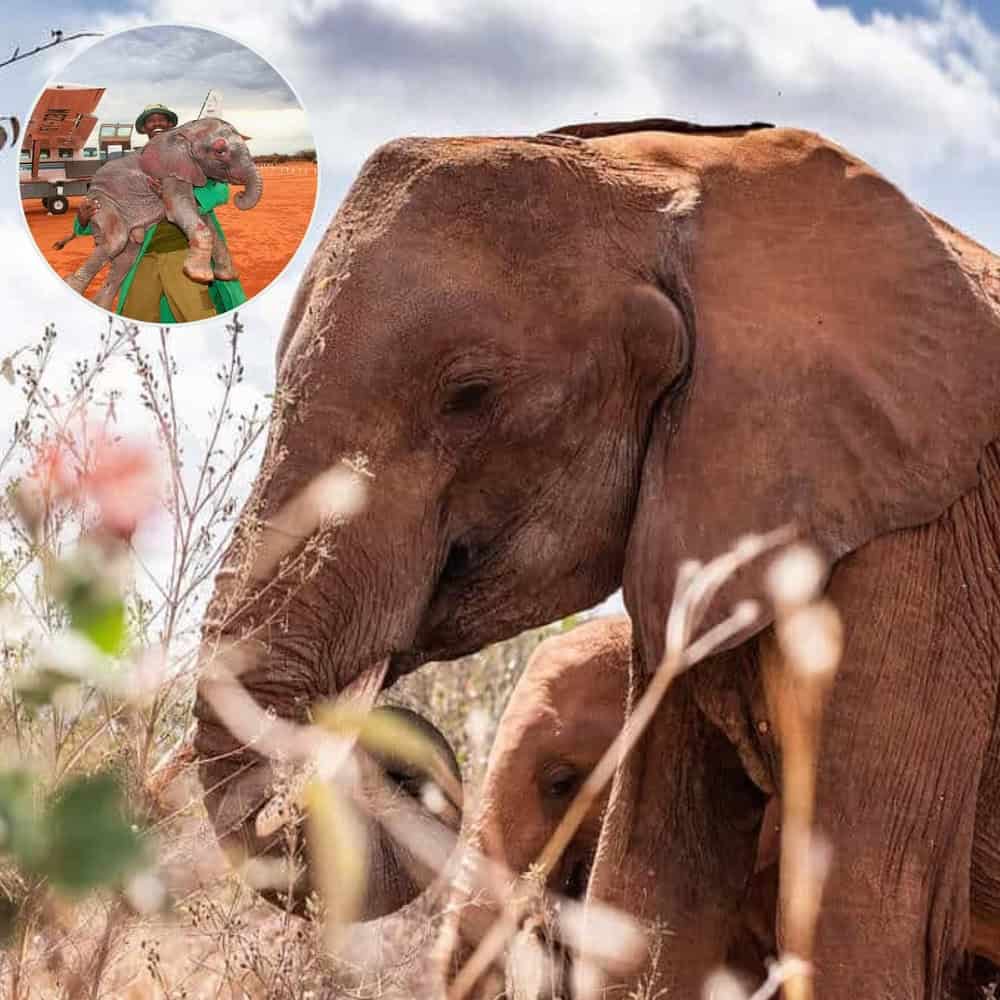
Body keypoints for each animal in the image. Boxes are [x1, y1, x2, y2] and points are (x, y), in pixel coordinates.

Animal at [61, 117, 261, 310]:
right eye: (220, 151)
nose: (239, 195)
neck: (186, 131)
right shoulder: (170, 172)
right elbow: (180, 208)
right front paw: (199, 275)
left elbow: (204, 217)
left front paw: (226, 275)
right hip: (102, 202)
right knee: (115, 241)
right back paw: (72, 286)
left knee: (124, 261)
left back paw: (99, 305)